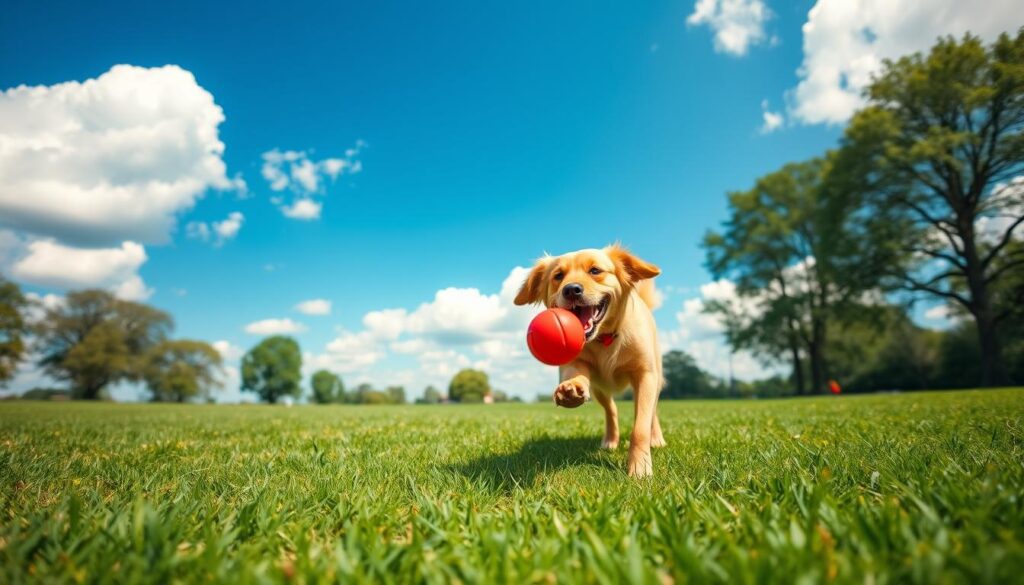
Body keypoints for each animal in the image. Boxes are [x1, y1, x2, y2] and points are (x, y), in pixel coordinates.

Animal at [512, 244, 663, 477]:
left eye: (595, 271)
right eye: (558, 276)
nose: (571, 289)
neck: (605, 338)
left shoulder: (645, 375)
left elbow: (640, 427)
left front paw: (639, 467)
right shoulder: (575, 362)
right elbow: (577, 375)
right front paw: (570, 390)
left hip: (656, 379)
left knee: (651, 412)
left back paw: (656, 438)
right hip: (601, 390)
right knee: (611, 410)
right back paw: (610, 440)